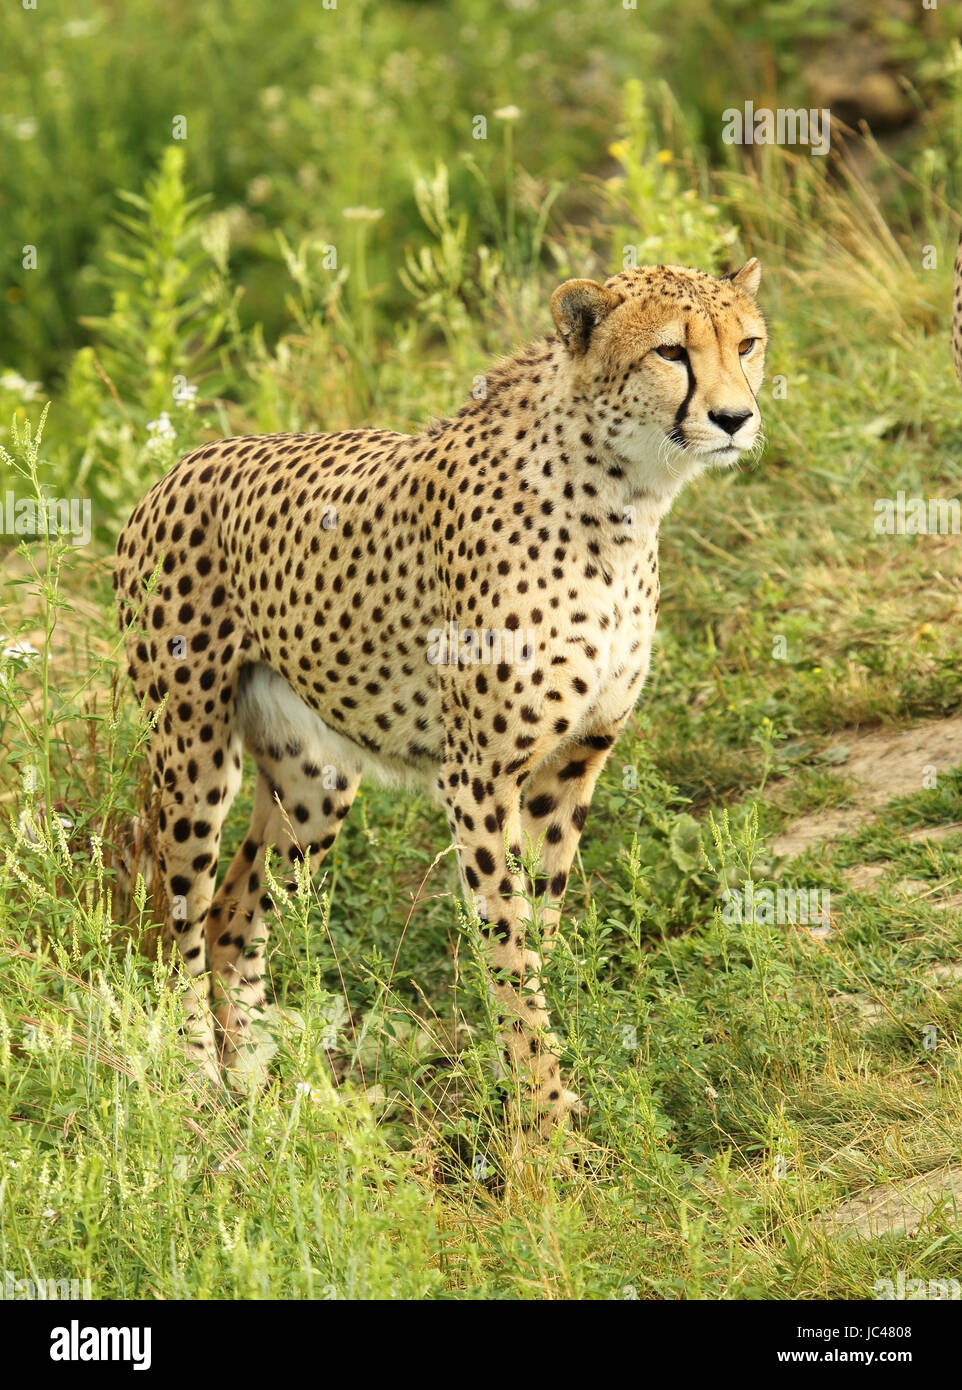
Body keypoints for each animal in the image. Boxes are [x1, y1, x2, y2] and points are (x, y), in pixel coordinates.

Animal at [114, 257, 767, 1136]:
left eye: (747, 343)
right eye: (671, 351)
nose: (735, 418)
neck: (622, 497)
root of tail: (180, 465)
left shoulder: (571, 765)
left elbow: (541, 925)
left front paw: (536, 1085)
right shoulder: (479, 776)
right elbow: (507, 945)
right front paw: (545, 1111)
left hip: (314, 781)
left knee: (235, 915)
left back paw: (267, 1087)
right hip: (191, 754)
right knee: (182, 915)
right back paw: (199, 1086)